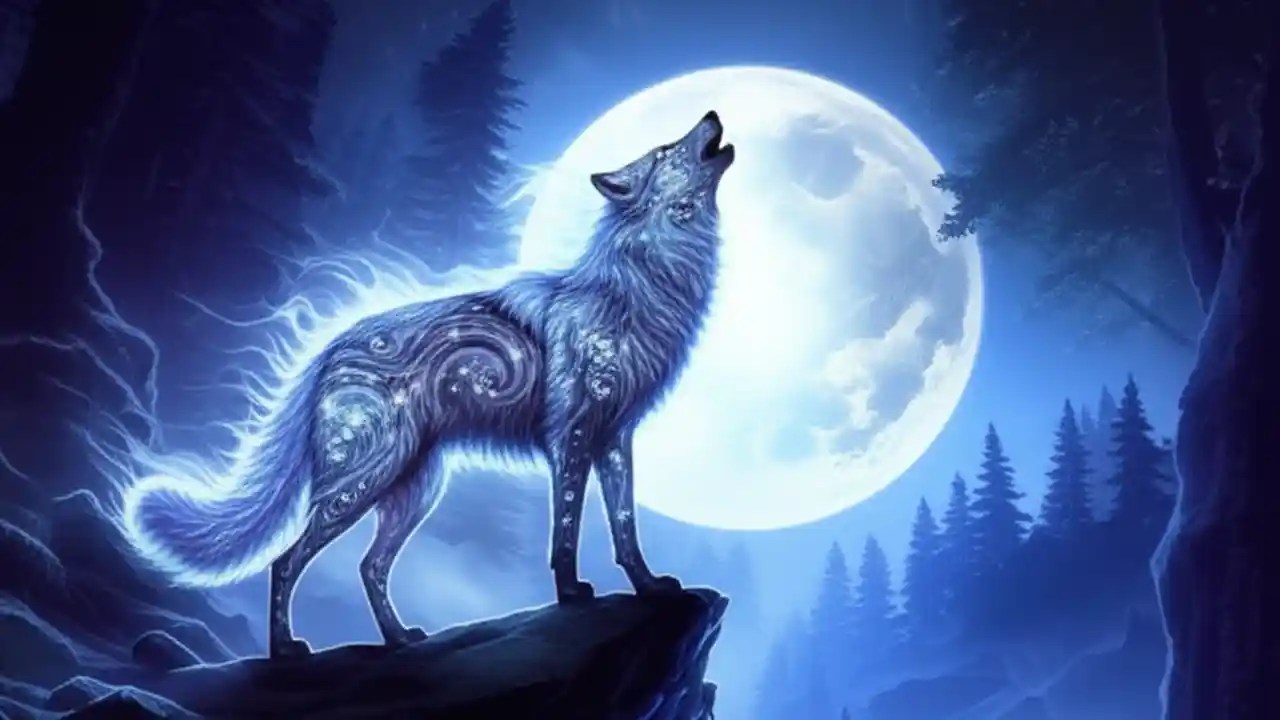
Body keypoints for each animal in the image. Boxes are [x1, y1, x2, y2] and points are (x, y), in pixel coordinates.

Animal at [121, 111, 735, 657]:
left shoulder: (615, 440)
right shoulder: (573, 440)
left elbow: (626, 530)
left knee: (368, 567)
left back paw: (398, 640)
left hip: (414, 493)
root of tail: (325, 352)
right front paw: (571, 596)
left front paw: (649, 587)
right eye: (665, 148)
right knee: (285, 560)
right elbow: (565, 534)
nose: (711, 111)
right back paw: (285, 651)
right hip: (361, 485)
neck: (638, 287)